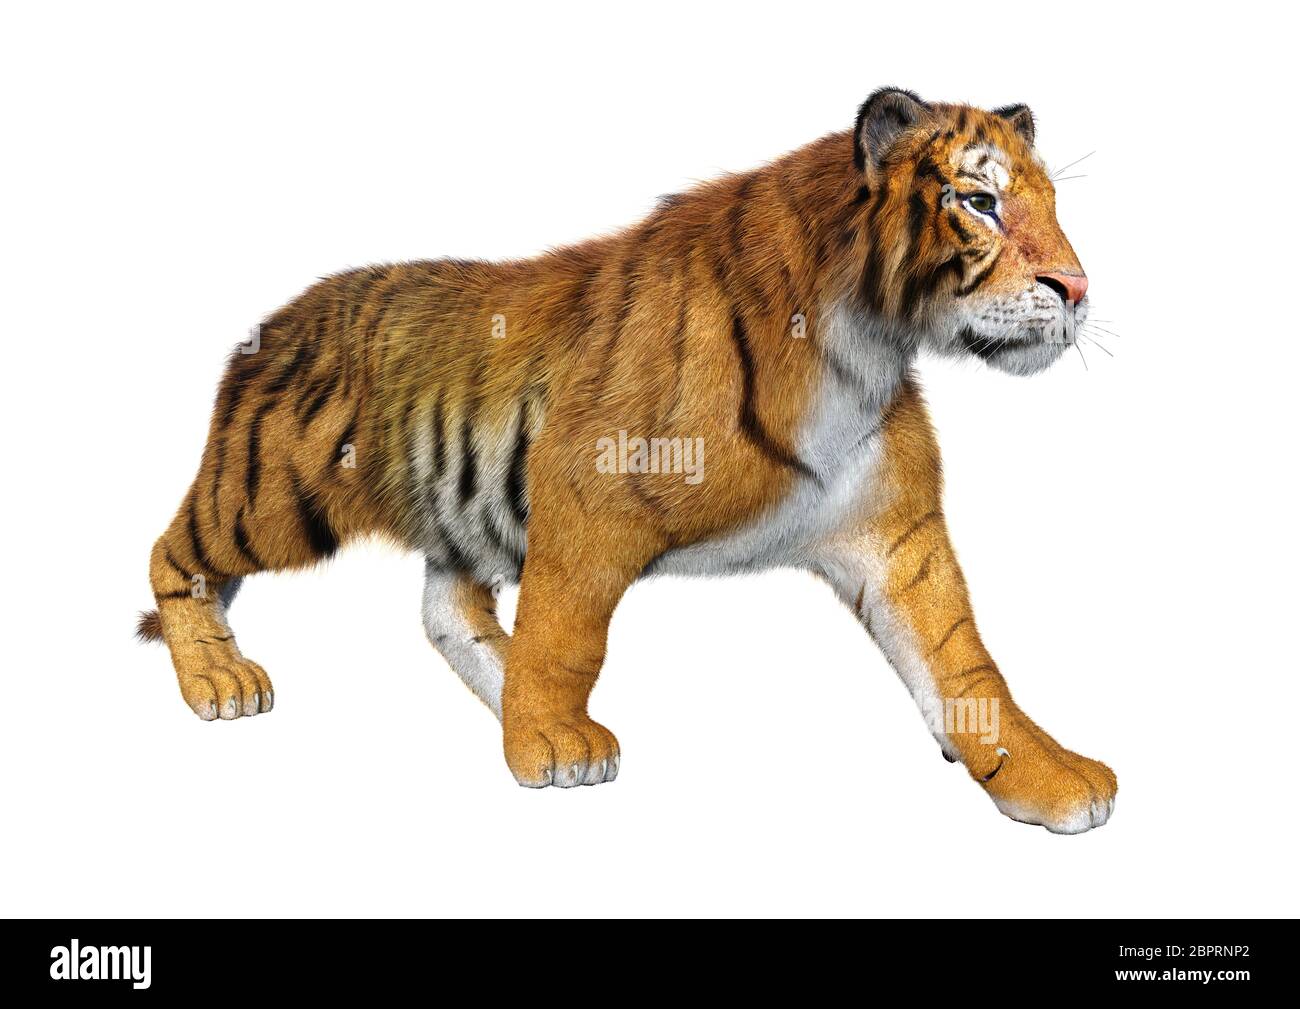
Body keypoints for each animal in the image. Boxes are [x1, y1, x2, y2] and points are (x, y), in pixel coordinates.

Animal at [138, 87, 1117, 833]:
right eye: (980, 201)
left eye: (1053, 202)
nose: (1077, 289)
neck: (866, 345)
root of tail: (267, 327)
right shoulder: (586, 495)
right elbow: (566, 636)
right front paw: (547, 748)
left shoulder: (896, 533)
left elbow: (967, 669)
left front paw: (1053, 777)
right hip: (272, 497)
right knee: (173, 552)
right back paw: (221, 679)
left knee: (446, 611)